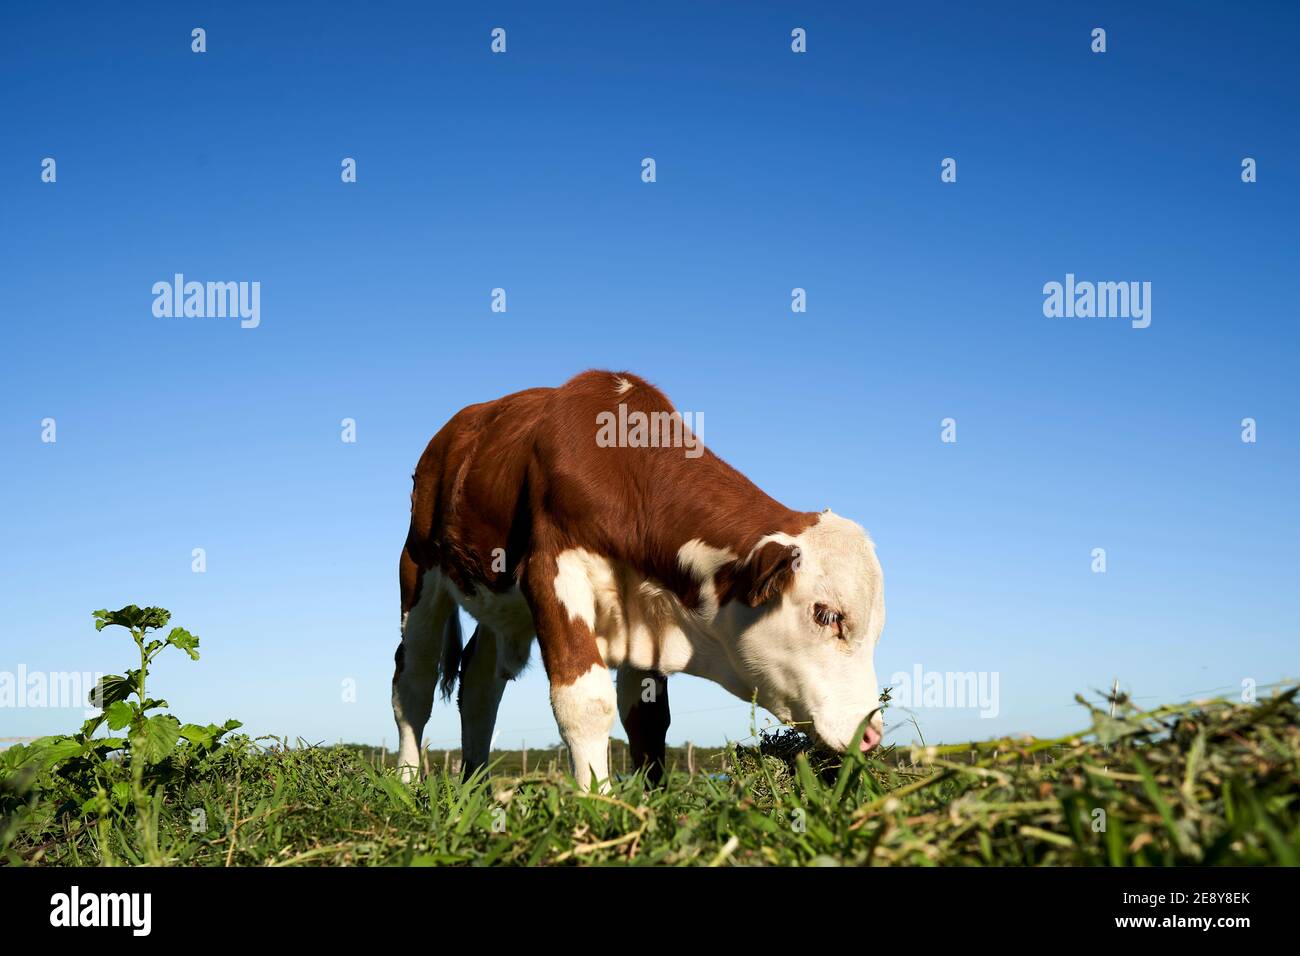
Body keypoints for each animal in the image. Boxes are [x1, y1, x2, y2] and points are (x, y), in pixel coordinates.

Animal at [392, 370, 887, 789]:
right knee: (413, 681)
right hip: (418, 567)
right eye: (826, 615)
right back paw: (409, 785)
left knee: (478, 684)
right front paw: (597, 802)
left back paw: (473, 787)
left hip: (502, 607)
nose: (870, 733)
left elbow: (648, 717)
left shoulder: (648, 616)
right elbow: (584, 700)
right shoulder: (552, 573)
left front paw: (652, 801)